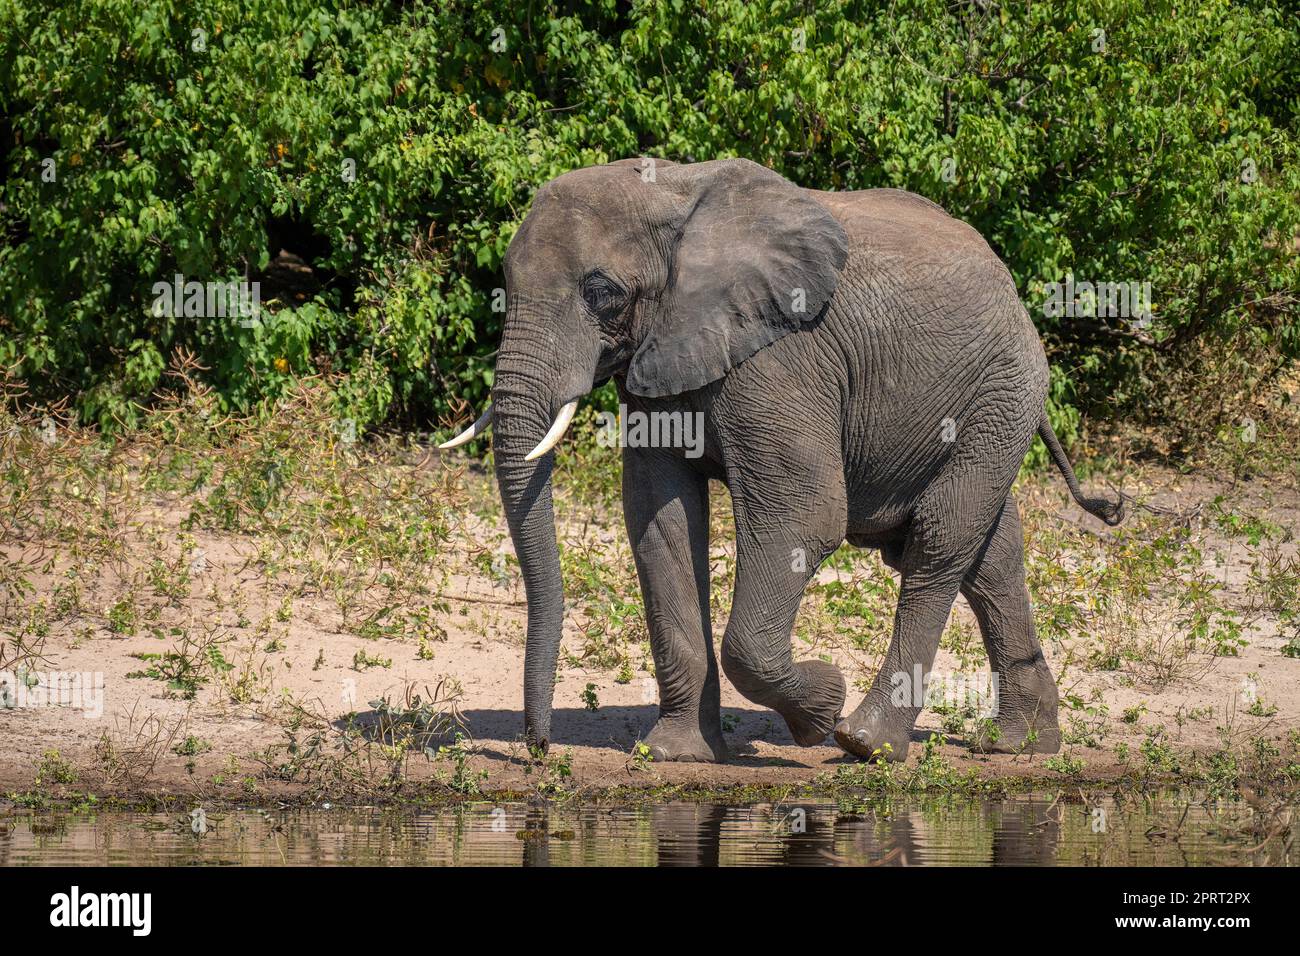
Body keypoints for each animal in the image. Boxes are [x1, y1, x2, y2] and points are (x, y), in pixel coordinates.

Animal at [440, 157, 1123, 763]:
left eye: (601, 293)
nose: (537, 749)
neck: (674, 194)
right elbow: (661, 522)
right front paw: (676, 755)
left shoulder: (780, 361)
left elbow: (804, 516)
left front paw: (820, 706)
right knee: (991, 553)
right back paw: (1019, 747)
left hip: (1002, 390)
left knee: (939, 541)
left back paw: (864, 742)